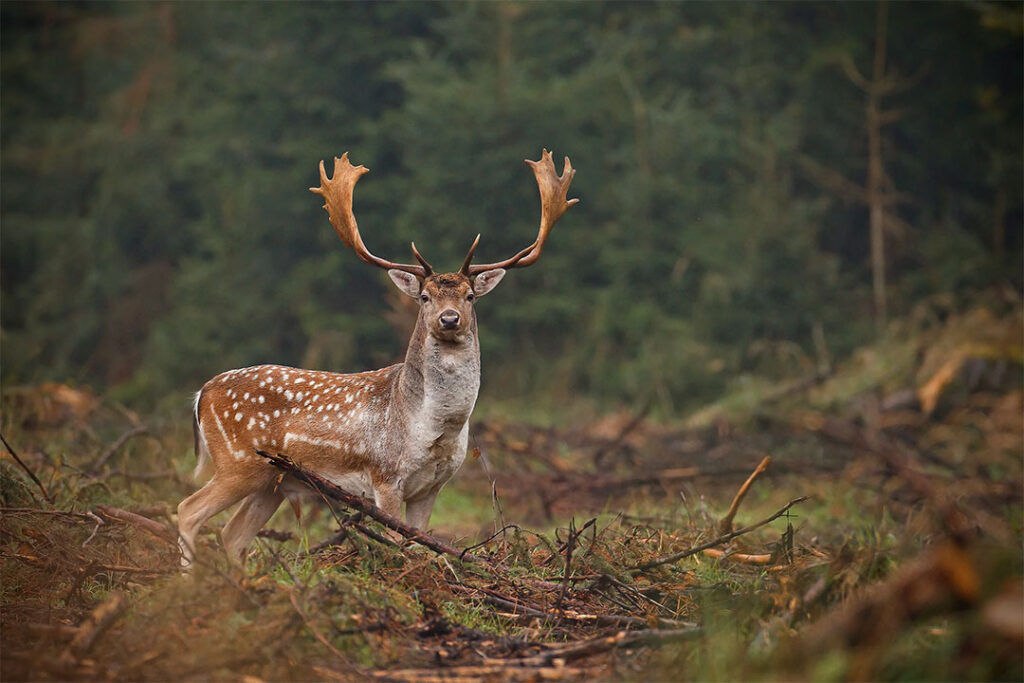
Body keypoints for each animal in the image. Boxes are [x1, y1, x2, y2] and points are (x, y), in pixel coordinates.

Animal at [176, 149, 577, 567]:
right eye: (425, 297)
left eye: (470, 296)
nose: (449, 319)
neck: (432, 427)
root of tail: (202, 393)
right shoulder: (385, 476)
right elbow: (397, 543)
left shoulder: (433, 486)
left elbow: (419, 541)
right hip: (238, 460)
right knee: (188, 510)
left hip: (273, 480)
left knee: (232, 535)